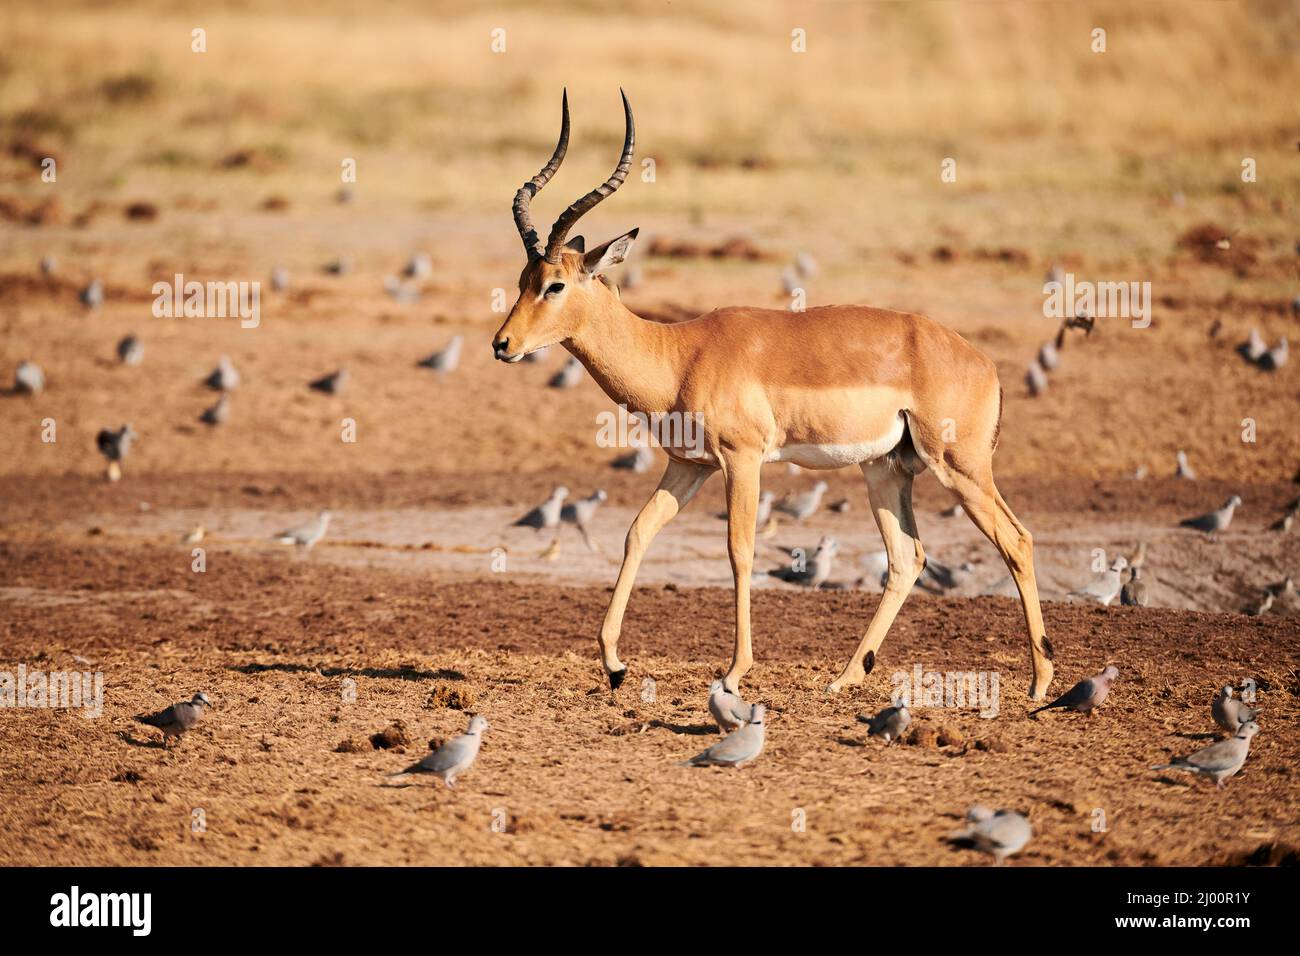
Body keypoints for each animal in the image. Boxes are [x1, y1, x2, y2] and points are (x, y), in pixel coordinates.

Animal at [492, 91, 1056, 700]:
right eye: (522, 280)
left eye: (556, 285)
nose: (502, 344)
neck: (681, 354)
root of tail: (984, 364)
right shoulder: (688, 464)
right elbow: (637, 532)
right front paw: (615, 664)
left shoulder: (742, 460)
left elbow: (740, 551)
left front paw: (735, 672)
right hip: (885, 469)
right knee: (907, 558)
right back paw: (845, 677)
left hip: (959, 466)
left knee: (1017, 539)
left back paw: (1039, 684)